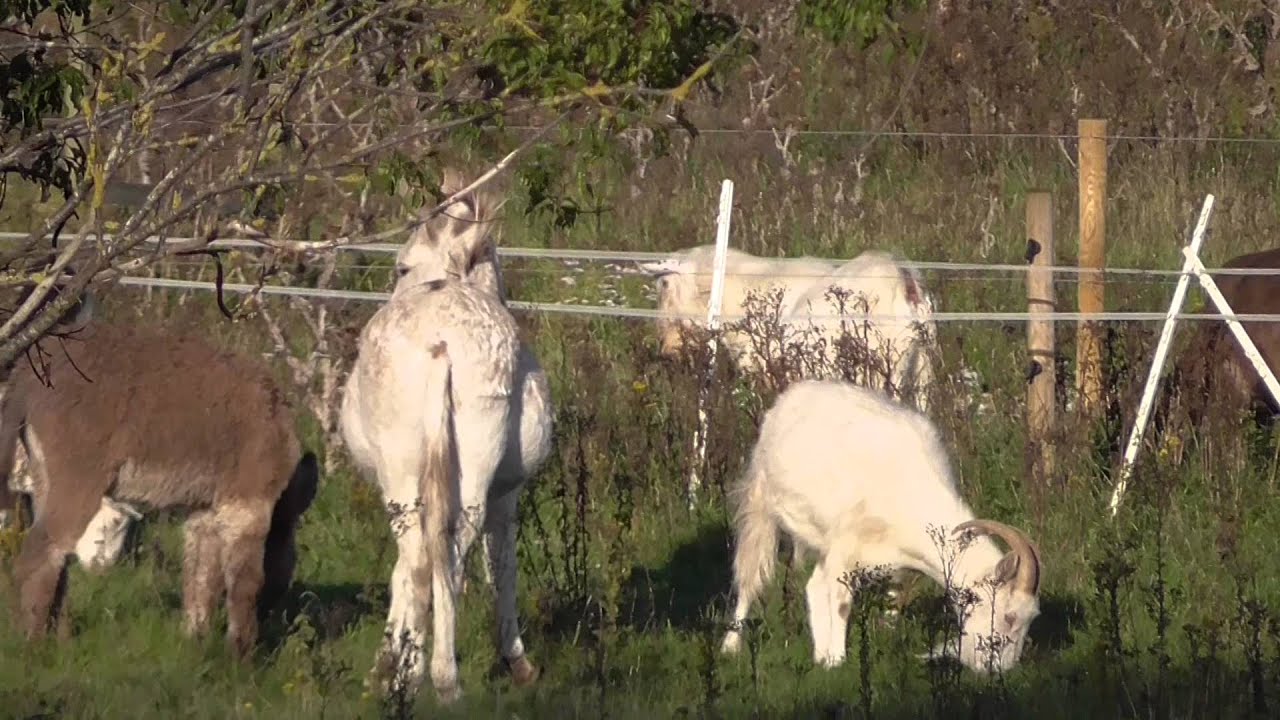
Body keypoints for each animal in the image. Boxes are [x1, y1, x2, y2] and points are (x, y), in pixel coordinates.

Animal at [0, 321, 319, 656]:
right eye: (291, 559)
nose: (275, 614)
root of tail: (26, 376)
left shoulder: (204, 513)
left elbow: (200, 578)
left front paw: (195, 644)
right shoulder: (247, 506)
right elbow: (244, 581)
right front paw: (240, 656)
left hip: (44, 483)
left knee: (56, 561)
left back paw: (59, 641)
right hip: (77, 484)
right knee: (40, 557)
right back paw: (34, 645)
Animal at [339, 168, 553, 702]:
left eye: (400, 268)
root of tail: (442, 341)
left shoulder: (504, 494)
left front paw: (388, 661)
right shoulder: (504, 492)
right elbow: (494, 566)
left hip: (404, 474)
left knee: (425, 559)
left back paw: (419, 677)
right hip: (471, 473)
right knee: (446, 556)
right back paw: (439, 676)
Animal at [720, 379, 1043, 673]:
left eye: (1031, 619)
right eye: (1010, 616)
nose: (1000, 670)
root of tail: (792, 395)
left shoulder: (895, 560)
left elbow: (891, 599)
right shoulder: (844, 549)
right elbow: (841, 602)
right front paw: (837, 661)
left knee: (812, 586)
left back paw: (817, 655)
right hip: (762, 505)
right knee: (751, 573)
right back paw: (732, 644)